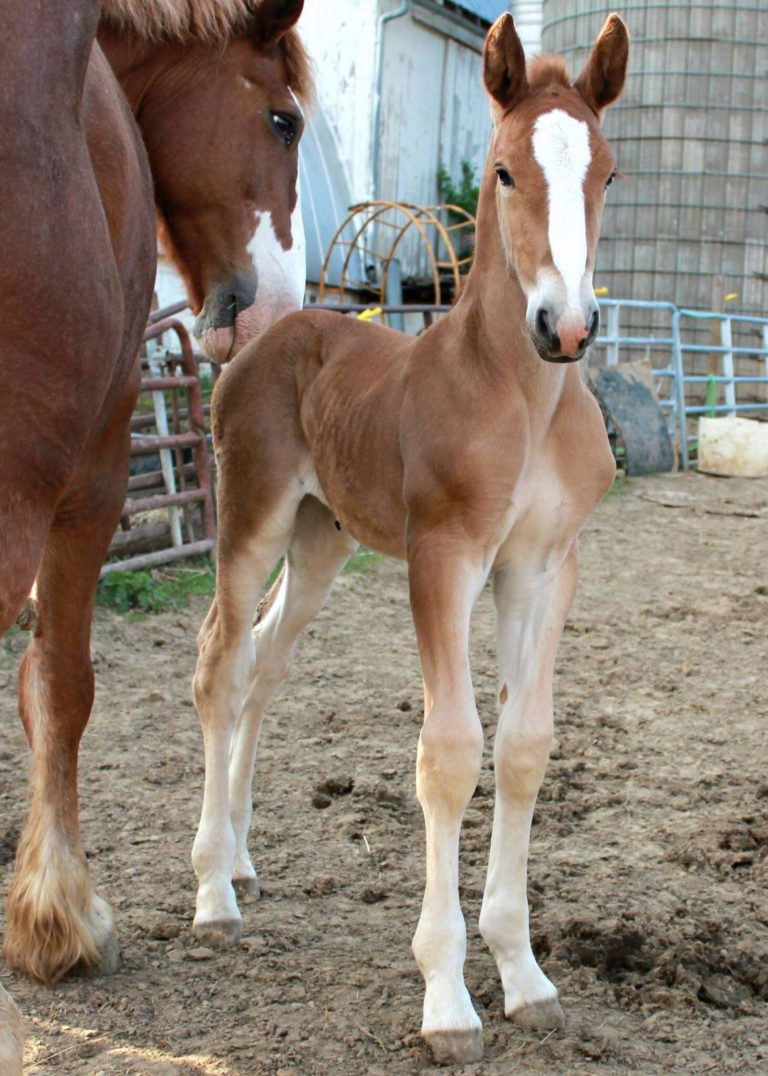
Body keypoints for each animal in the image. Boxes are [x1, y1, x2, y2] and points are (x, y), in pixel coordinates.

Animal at [190, 11, 629, 1064]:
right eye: (504, 170)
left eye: (607, 174)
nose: (565, 326)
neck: (524, 396)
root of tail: (261, 337)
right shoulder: (444, 557)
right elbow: (451, 754)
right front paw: (448, 998)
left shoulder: (543, 568)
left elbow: (524, 746)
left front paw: (525, 975)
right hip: (254, 518)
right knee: (219, 662)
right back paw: (213, 891)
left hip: (321, 540)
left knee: (264, 664)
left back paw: (245, 855)